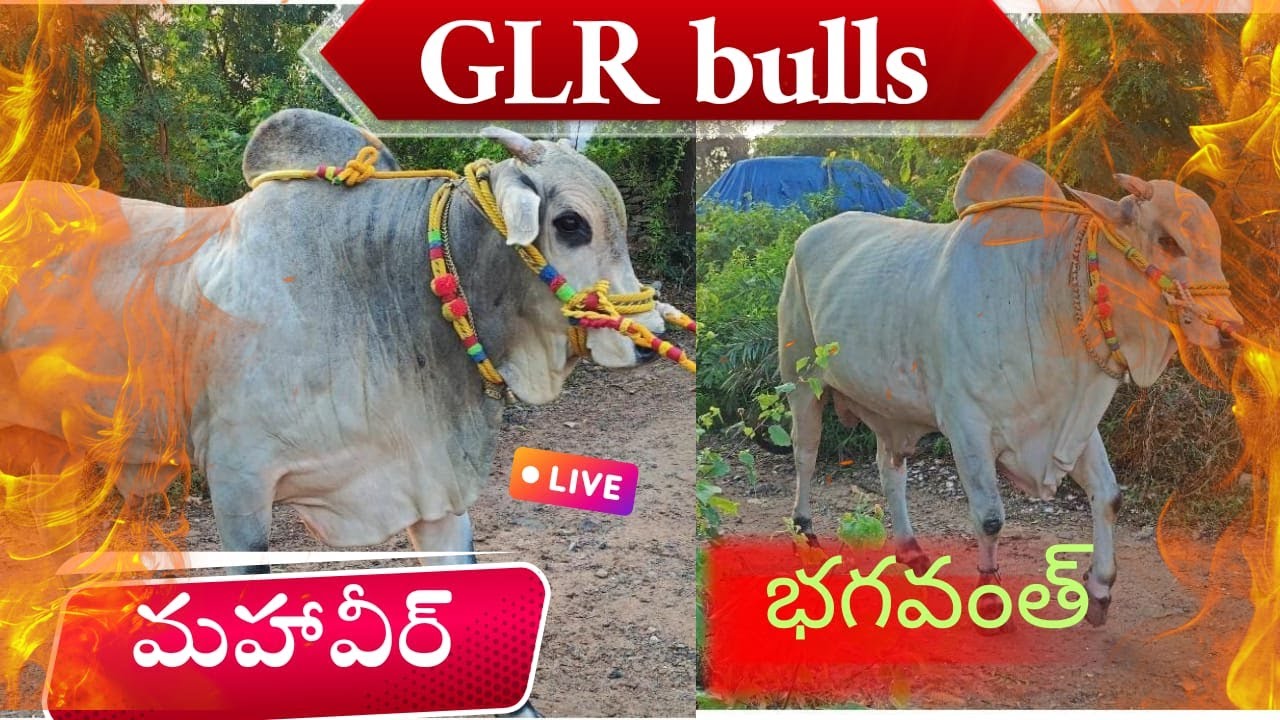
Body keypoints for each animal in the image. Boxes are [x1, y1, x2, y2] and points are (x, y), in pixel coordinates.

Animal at [777, 149, 1243, 627]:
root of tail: (809, 235)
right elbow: (989, 518)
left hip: (889, 408)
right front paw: (990, 600)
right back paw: (805, 532)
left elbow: (1109, 496)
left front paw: (1099, 588)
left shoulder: (1072, 420)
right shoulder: (967, 425)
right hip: (800, 379)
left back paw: (911, 550)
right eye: (1167, 241)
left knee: (890, 468)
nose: (1231, 329)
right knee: (805, 455)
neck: (1049, 292)